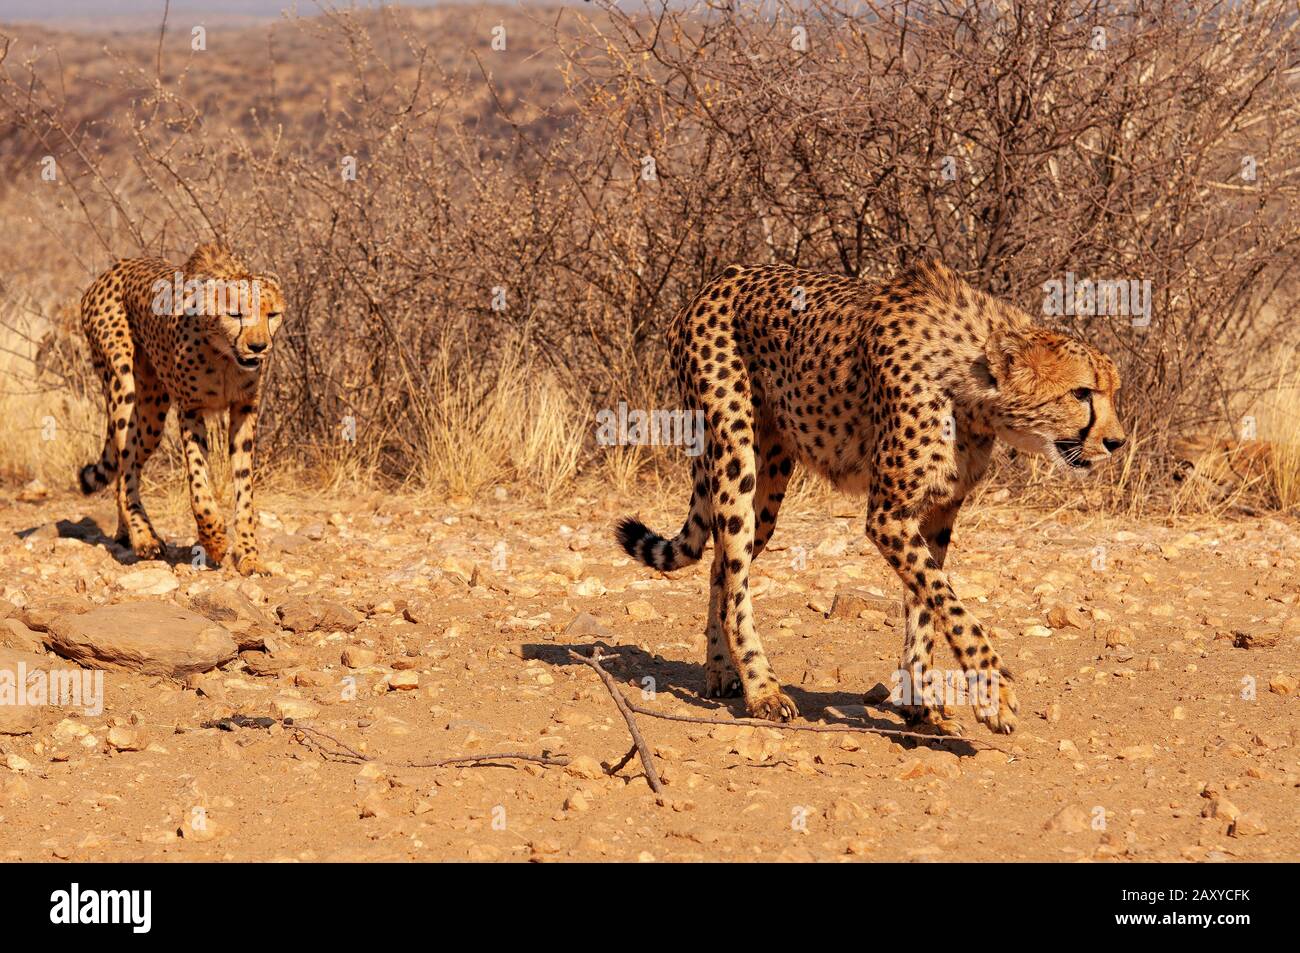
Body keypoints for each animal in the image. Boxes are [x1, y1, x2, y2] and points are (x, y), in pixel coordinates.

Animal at [77, 242, 285, 576]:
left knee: (127, 467)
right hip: (123, 389)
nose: (258, 347)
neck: (225, 356)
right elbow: (199, 485)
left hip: (153, 415)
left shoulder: (244, 409)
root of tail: (113, 268)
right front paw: (214, 540)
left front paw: (250, 555)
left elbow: (244, 489)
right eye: (235, 314)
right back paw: (144, 538)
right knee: (125, 464)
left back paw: (126, 533)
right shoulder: (190, 409)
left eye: (272, 314)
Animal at [616, 260, 1125, 735]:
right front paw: (991, 691)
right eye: (1081, 393)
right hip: (733, 454)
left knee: (721, 567)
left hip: (771, 480)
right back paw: (763, 690)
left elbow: (926, 607)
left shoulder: (936, 514)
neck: (971, 383)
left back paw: (723, 673)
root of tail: (714, 282)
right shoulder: (888, 515)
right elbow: (950, 604)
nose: (1116, 442)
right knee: (735, 572)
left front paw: (922, 706)